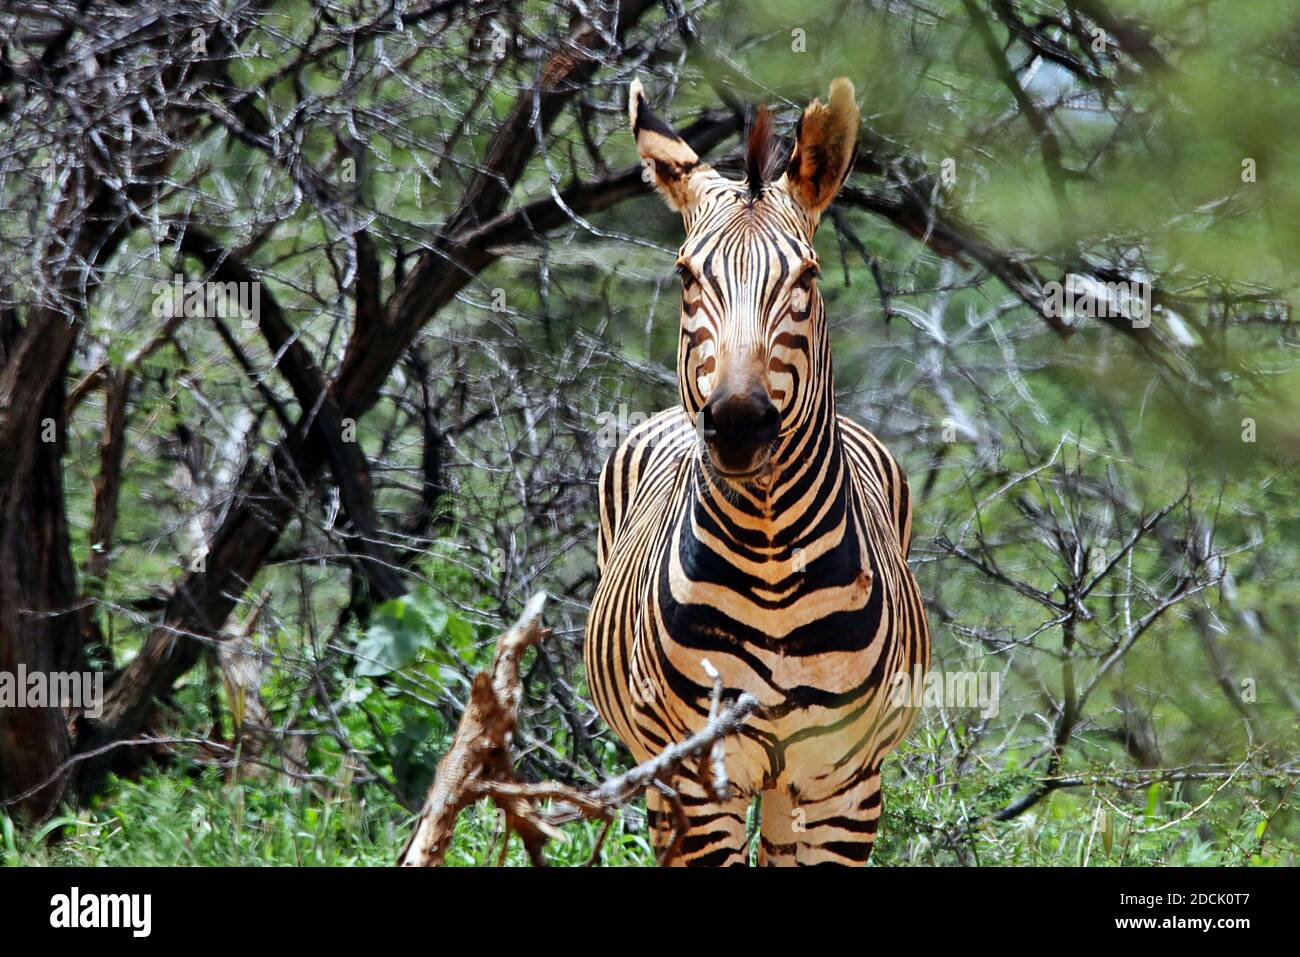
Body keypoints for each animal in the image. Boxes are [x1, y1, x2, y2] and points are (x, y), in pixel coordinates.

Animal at [584, 77, 930, 866]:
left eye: (807, 275)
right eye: (685, 275)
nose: (739, 424)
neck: (773, 569)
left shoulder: (844, 787)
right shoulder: (701, 778)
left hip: (787, 787)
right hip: (662, 769)